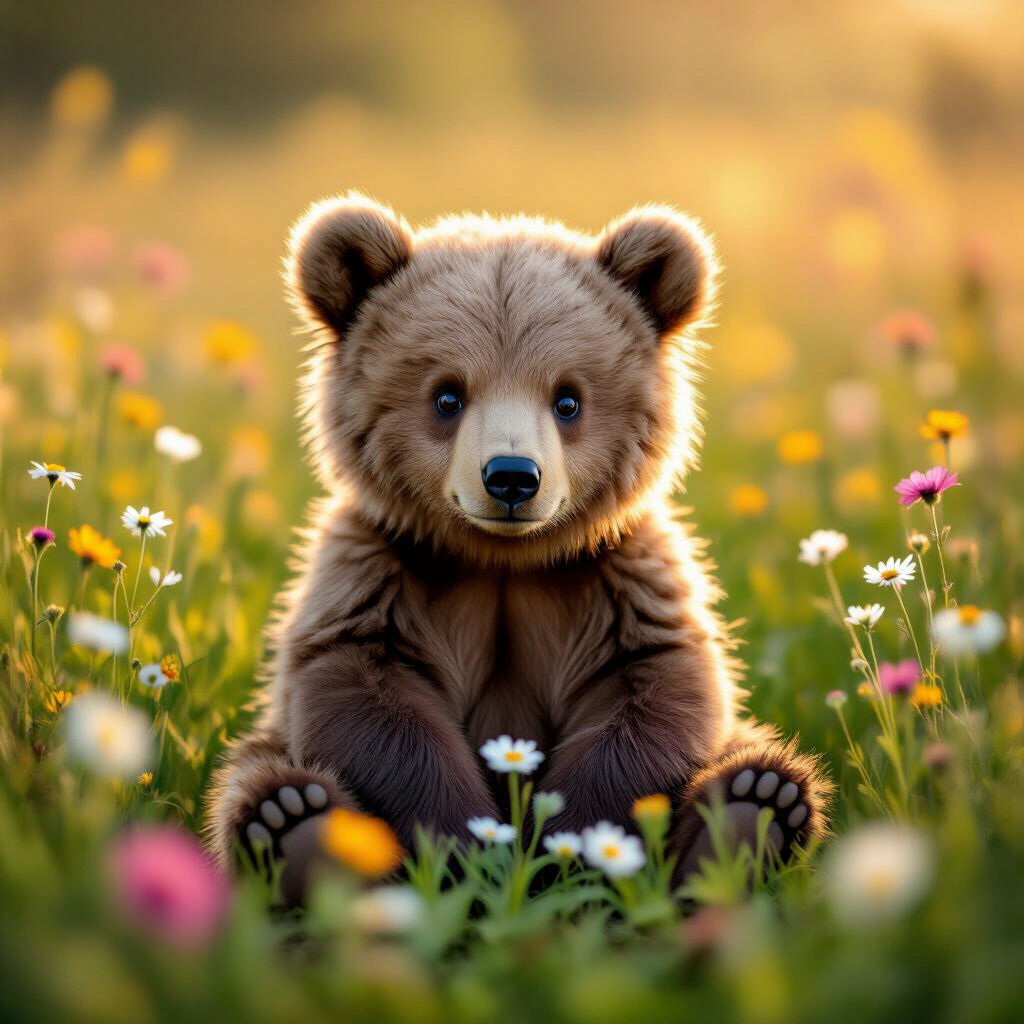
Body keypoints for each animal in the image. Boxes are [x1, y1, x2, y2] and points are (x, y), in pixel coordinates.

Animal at [206, 192, 830, 901]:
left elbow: (655, 693)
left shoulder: (616, 583)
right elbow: (364, 696)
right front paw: (464, 844)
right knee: (258, 775)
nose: (511, 476)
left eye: (568, 399)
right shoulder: (380, 576)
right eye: (447, 395)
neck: (503, 560)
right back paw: (296, 827)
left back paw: (751, 813)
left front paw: (573, 848)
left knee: (756, 758)